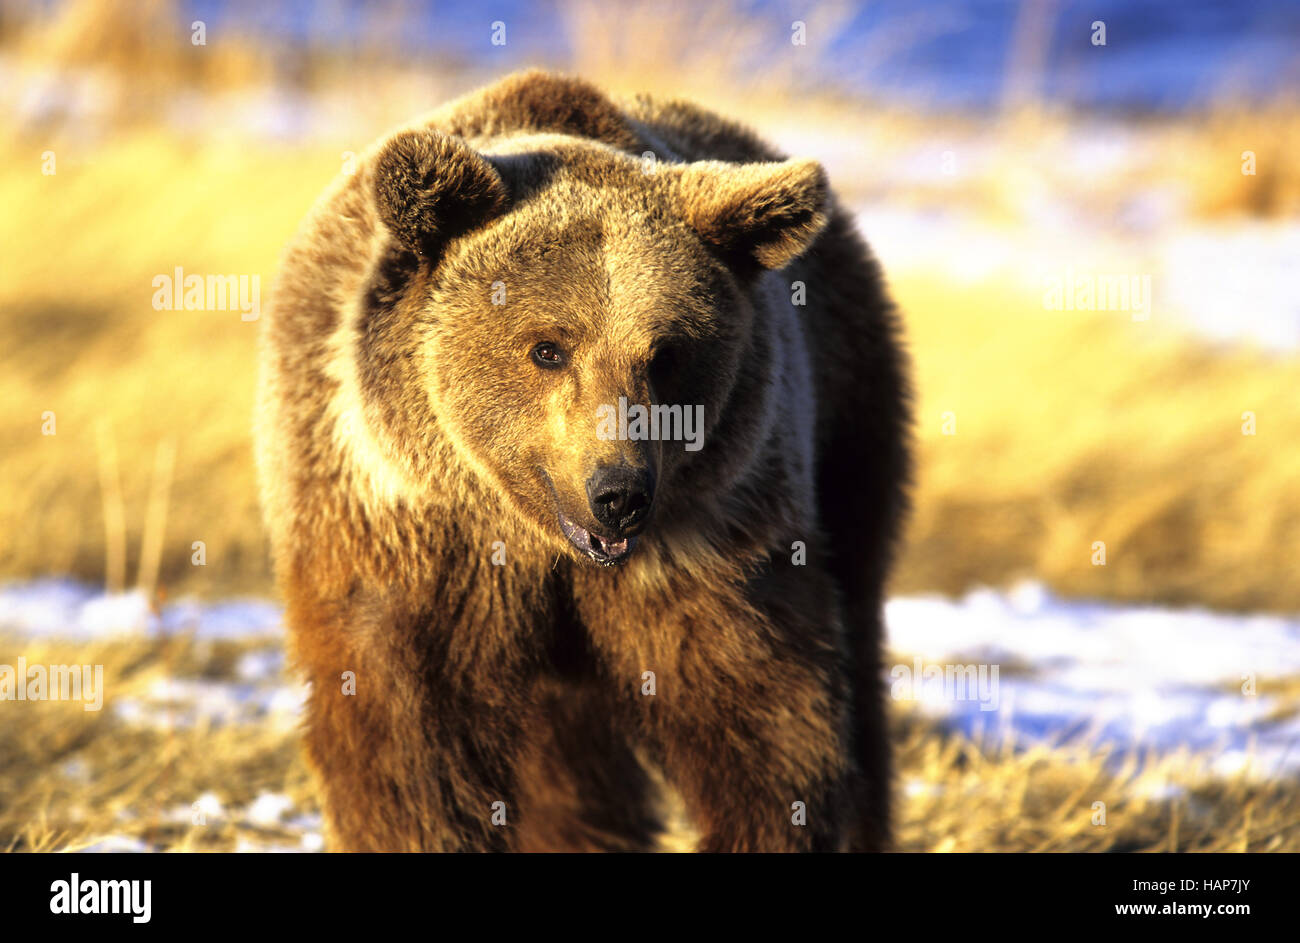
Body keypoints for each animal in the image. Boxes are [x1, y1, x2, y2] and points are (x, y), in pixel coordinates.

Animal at [255, 70, 910, 852]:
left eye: (666, 355)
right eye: (547, 348)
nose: (618, 492)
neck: (537, 540)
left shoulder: (711, 542)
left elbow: (763, 712)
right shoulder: (411, 533)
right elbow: (410, 728)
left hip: (848, 411)